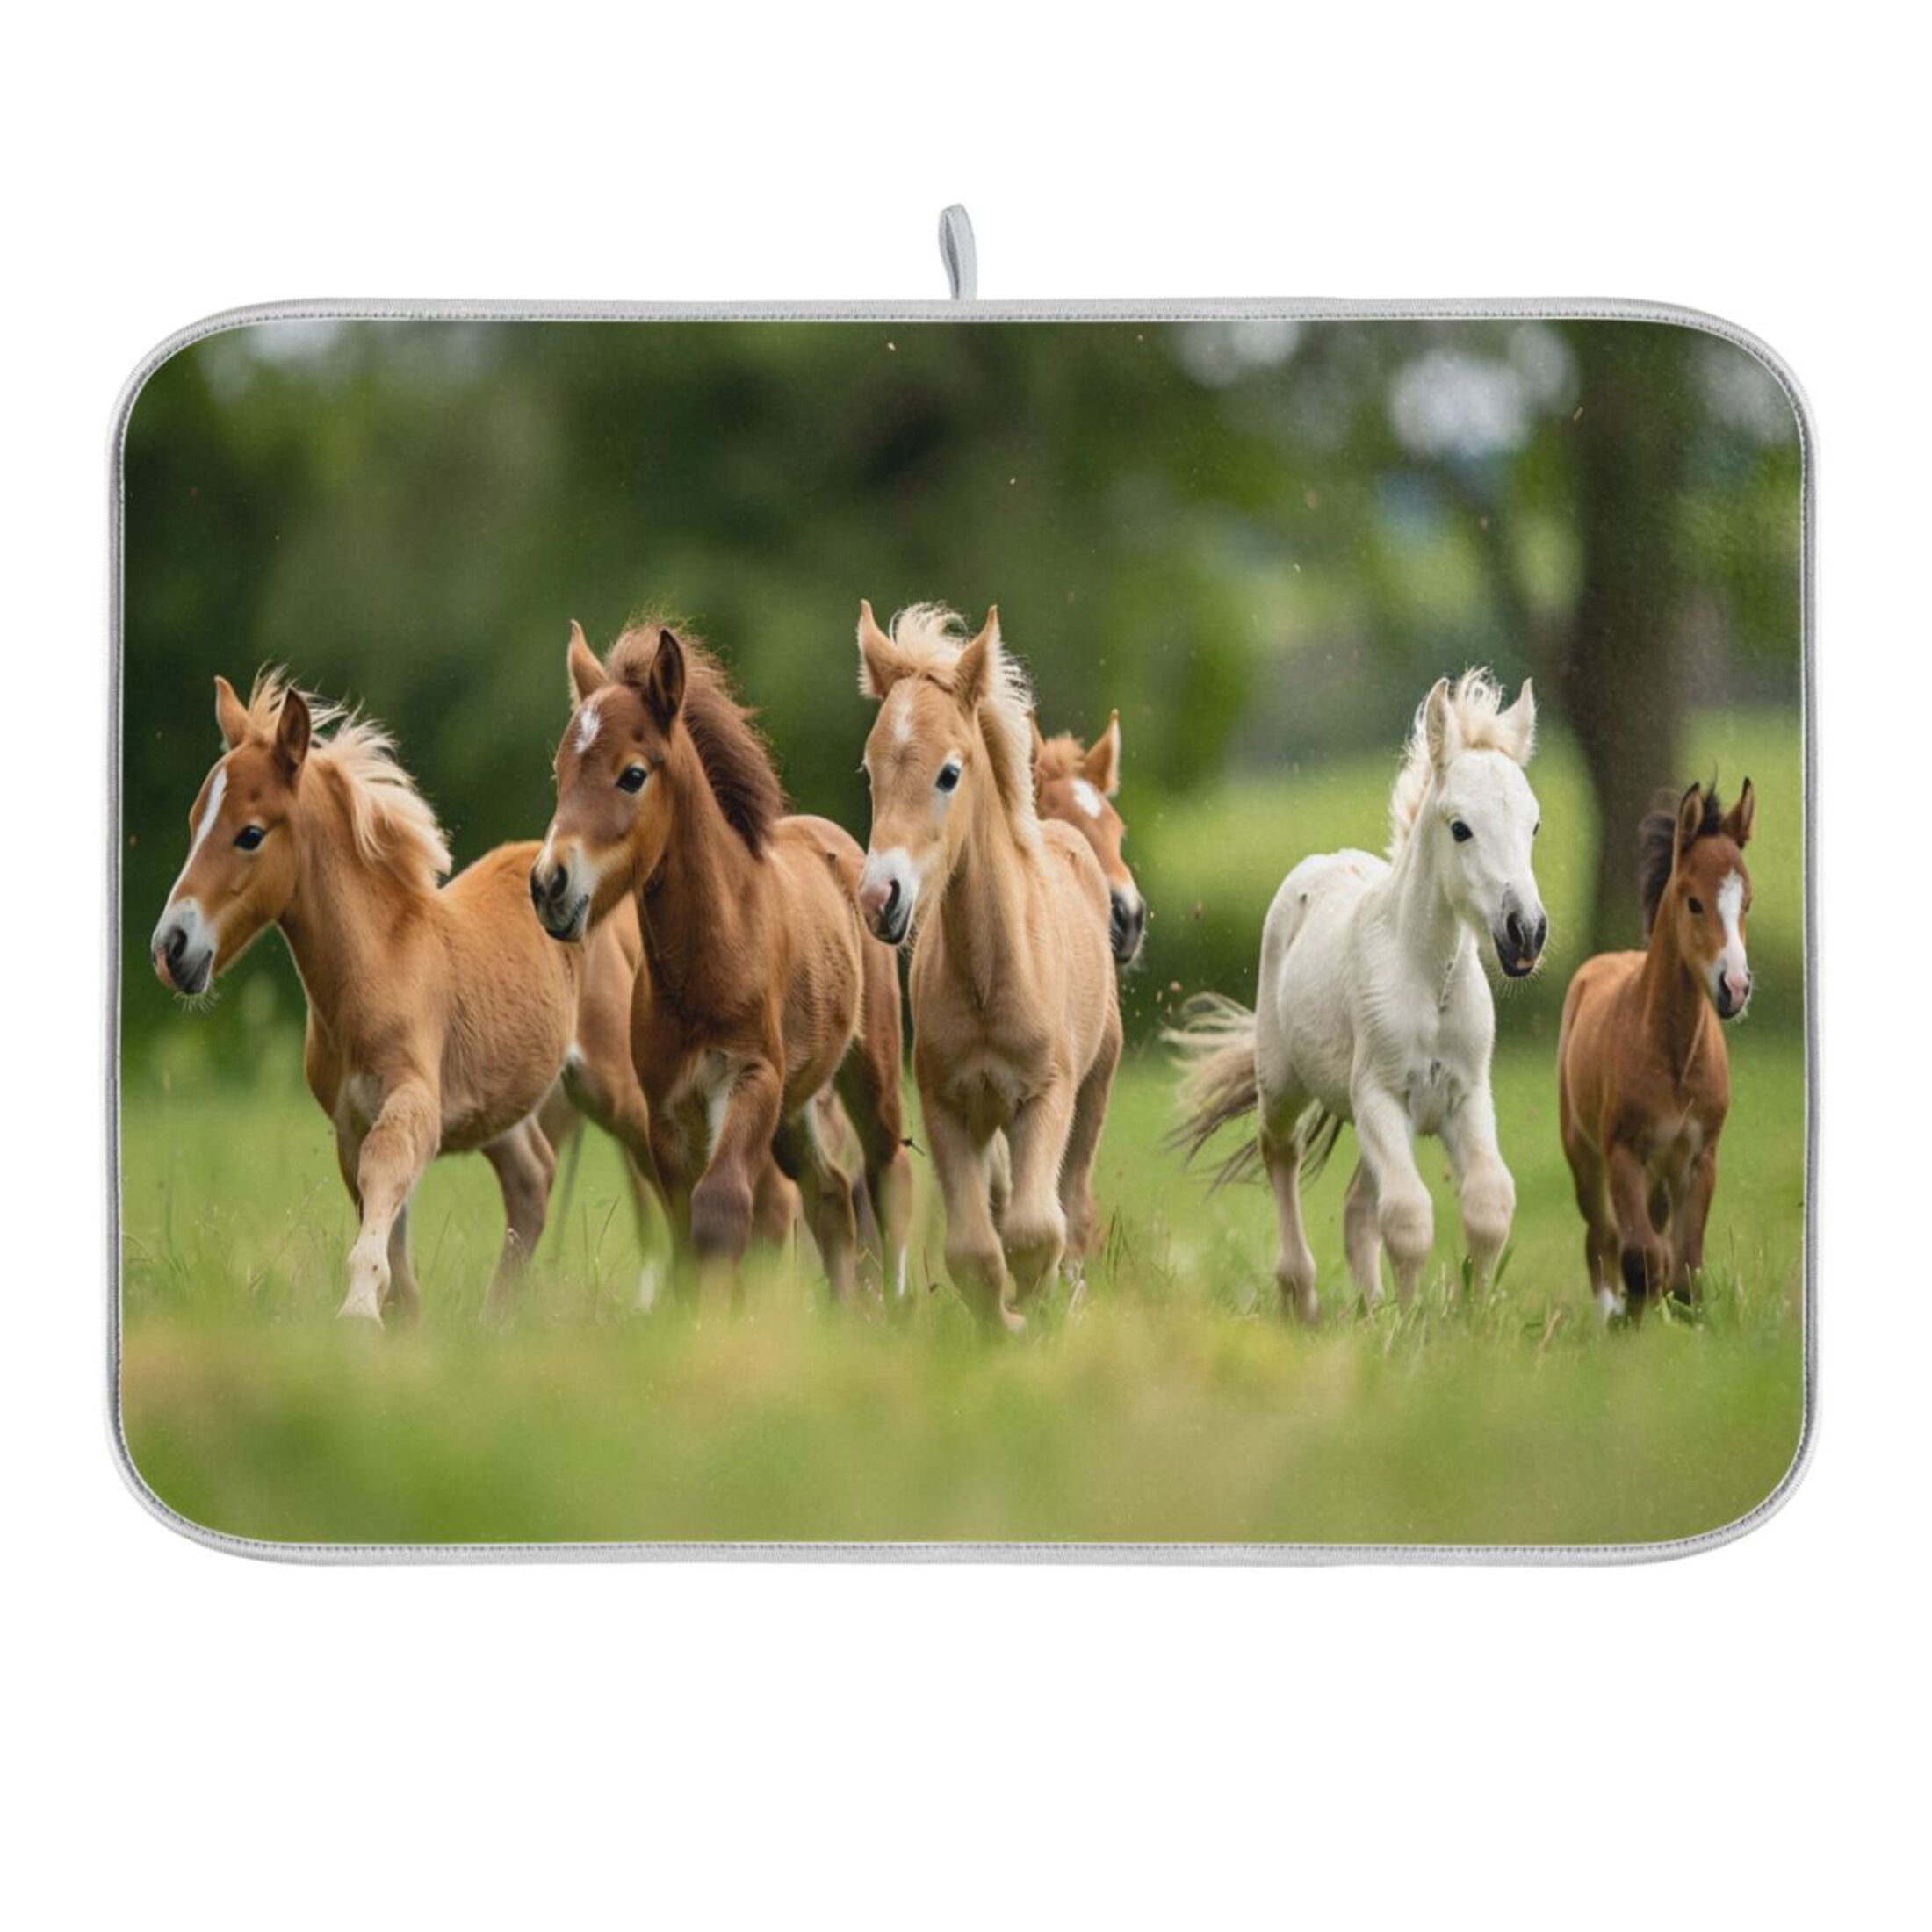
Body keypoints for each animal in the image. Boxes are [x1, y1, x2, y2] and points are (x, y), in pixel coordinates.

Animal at [150, 671, 658, 1324]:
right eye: (196, 823)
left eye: (250, 834)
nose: (171, 948)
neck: (376, 964)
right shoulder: (350, 1125)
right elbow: (385, 1218)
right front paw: (400, 1323)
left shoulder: (412, 1100)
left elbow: (385, 1175)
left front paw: (358, 1309)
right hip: (502, 1101)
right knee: (533, 1177)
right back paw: (495, 1322)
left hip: (612, 1080)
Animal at [529, 619, 912, 1309]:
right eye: (561, 771)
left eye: (632, 775)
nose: (549, 884)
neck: (705, 965)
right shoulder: (666, 1106)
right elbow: (684, 1222)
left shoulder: (752, 1076)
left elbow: (723, 1208)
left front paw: (716, 1319)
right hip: (795, 1106)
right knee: (829, 1194)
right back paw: (846, 1315)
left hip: (869, 1071)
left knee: (887, 1170)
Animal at [854, 601, 1122, 1332]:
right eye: (868, 772)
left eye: (950, 773)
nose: (879, 898)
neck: (989, 976)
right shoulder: (946, 1103)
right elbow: (975, 1249)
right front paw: (1004, 1320)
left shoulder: (1047, 1094)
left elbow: (1036, 1229)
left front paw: (1038, 1306)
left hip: (1095, 1085)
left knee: (1075, 1205)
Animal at [1170, 670, 1545, 1321]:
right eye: (1460, 827)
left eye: (1534, 824)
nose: (1525, 931)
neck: (1429, 982)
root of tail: (1323, 863)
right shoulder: (1378, 1096)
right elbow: (1410, 1217)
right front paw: (1411, 1322)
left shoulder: (1465, 1095)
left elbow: (1488, 1203)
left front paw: (1471, 1319)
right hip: (1283, 1086)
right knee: (1282, 1155)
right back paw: (1303, 1296)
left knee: (1356, 1208)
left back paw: (1369, 1308)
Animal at [1557, 780, 1755, 1321]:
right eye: (1694, 902)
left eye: (1747, 902)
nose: (1735, 987)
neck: (1674, 1057)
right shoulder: (1623, 1152)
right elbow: (1641, 1255)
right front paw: (1631, 1319)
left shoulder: (1699, 1157)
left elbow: (1684, 1268)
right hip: (1584, 1154)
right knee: (1601, 1236)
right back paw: (1609, 1310)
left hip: (1662, 1173)